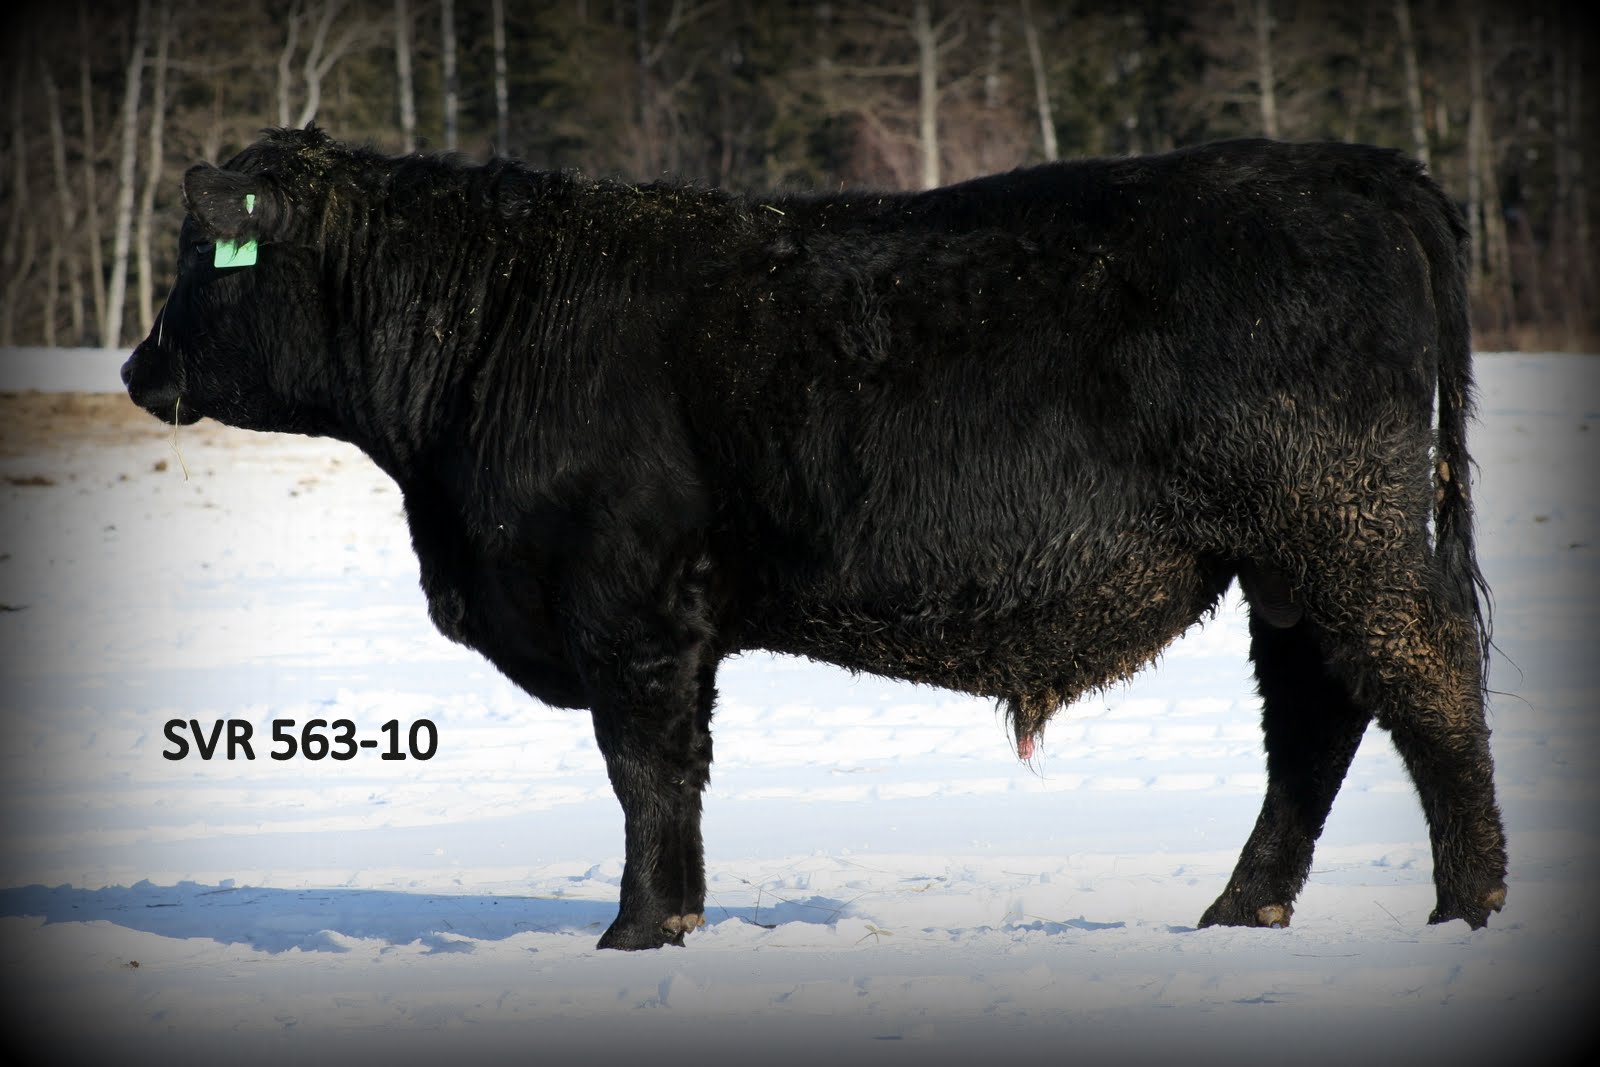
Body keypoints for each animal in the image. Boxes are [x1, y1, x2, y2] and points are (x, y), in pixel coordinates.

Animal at [122, 127, 1507, 949]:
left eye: (203, 254)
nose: (137, 367)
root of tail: (1347, 163)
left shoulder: (628, 608)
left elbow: (642, 771)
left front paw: (635, 933)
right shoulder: (675, 628)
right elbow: (679, 775)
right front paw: (677, 918)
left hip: (1342, 532)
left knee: (1427, 683)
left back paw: (1464, 903)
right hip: (1290, 565)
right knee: (1318, 717)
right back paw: (1242, 905)